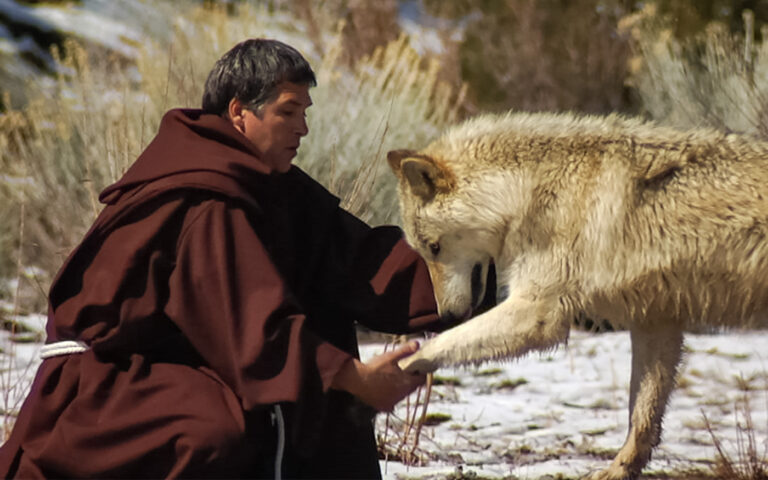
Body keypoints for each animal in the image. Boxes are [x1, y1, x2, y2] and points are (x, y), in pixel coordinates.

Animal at [387, 111, 768, 480]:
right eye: (425, 251)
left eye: (434, 248)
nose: (446, 316)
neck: (523, 195)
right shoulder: (655, 321)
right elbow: (641, 416)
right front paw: (618, 470)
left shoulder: (538, 314)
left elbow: (432, 349)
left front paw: (386, 377)